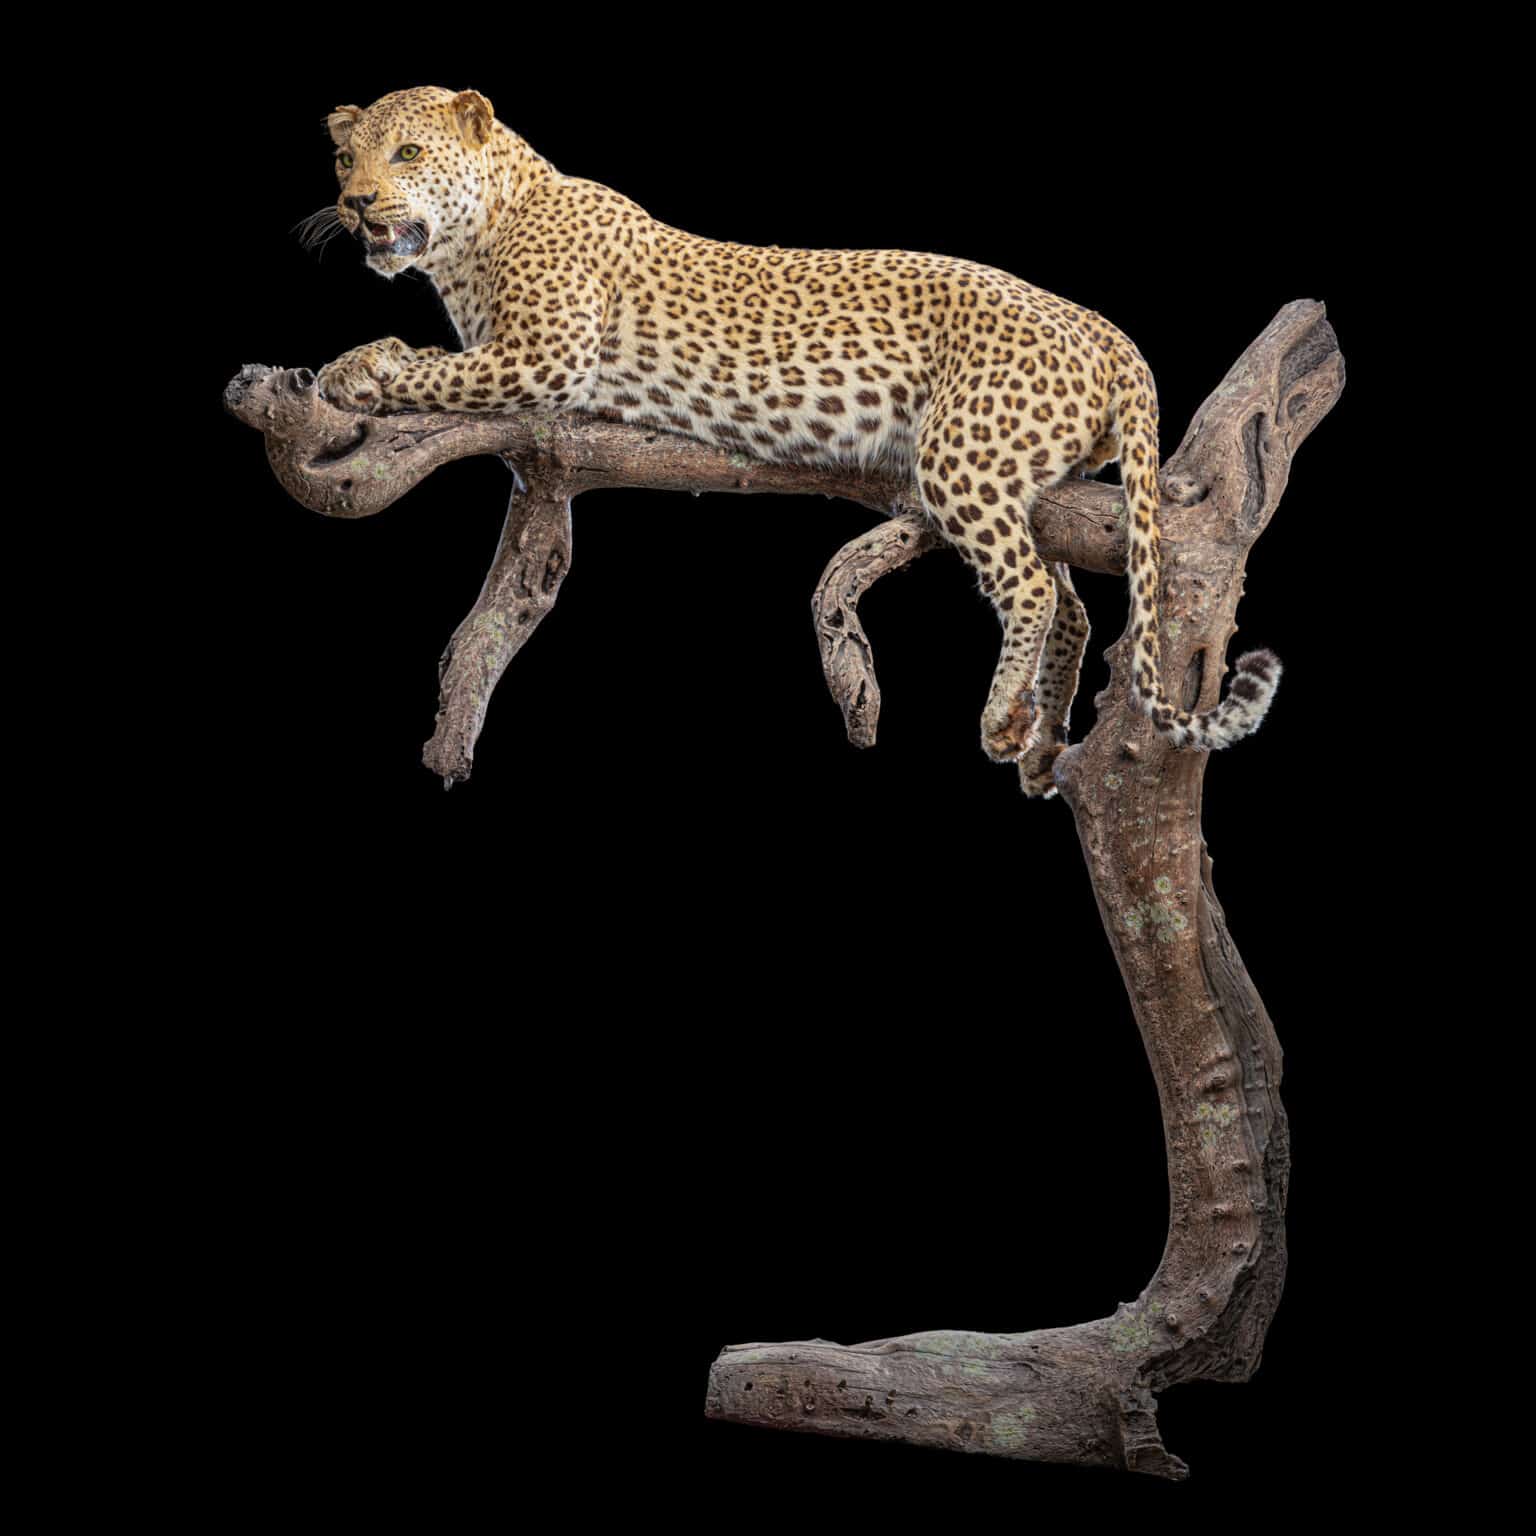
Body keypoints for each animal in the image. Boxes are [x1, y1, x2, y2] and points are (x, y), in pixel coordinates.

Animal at [312, 86, 1280, 795]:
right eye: (344, 157)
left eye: (407, 155)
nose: (354, 204)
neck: (471, 244)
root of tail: (1105, 330)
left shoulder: (540, 356)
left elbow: (423, 367)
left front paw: (352, 372)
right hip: (1026, 478)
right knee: (1072, 602)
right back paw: (1040, 744)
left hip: (964, 456)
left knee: (1033, 587)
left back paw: (1003, 719)